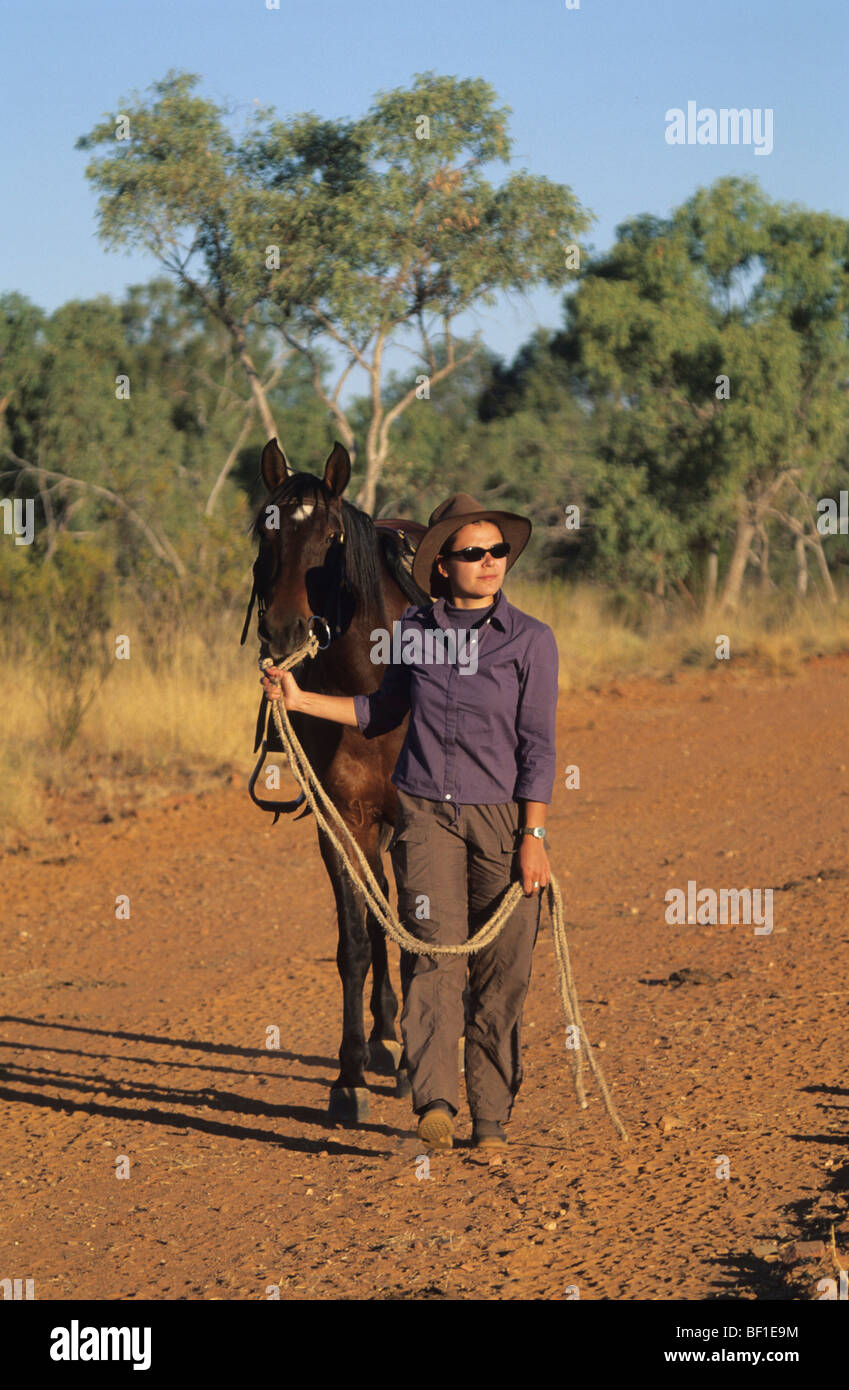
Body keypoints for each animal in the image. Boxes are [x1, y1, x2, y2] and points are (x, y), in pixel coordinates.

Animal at [243, 437, 429, 1121]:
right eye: (265, 530)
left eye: (329, 538)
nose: (284, 631)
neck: (369, 689)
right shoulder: (339, 823)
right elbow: (355, 941)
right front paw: (350, 1076)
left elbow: (419, 935)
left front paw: (419, 1068)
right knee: (378, 917)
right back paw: (386, 1038)